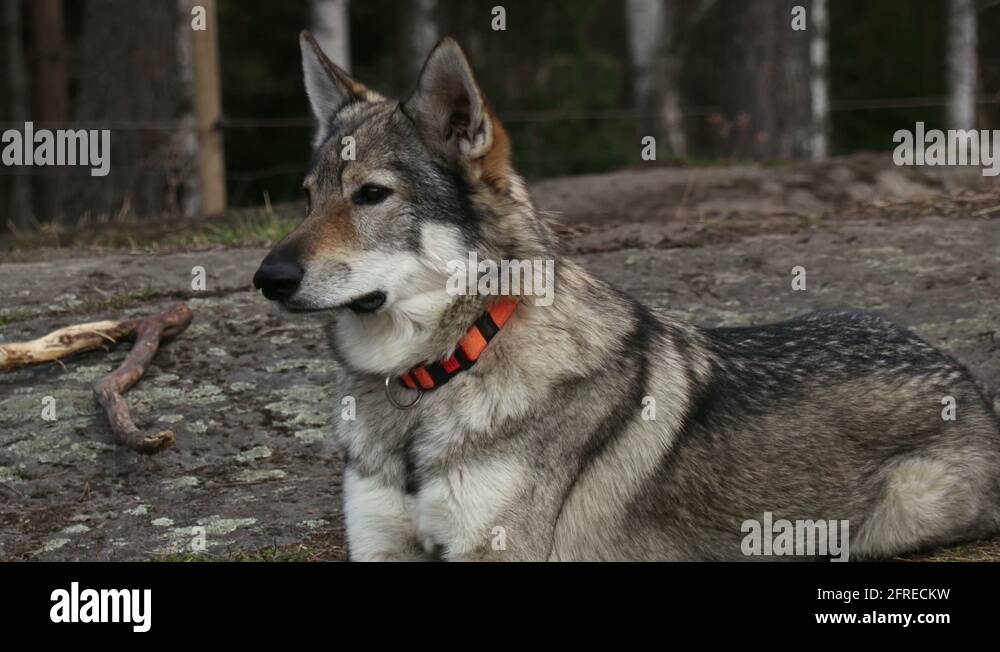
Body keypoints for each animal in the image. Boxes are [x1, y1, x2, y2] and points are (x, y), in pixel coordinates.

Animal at [253, 32, 1000, 561]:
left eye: (372, 195)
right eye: (307, 197)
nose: (267, 279)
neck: (439, 374)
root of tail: (959, 370)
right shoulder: (379, 547)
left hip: (897, 516)